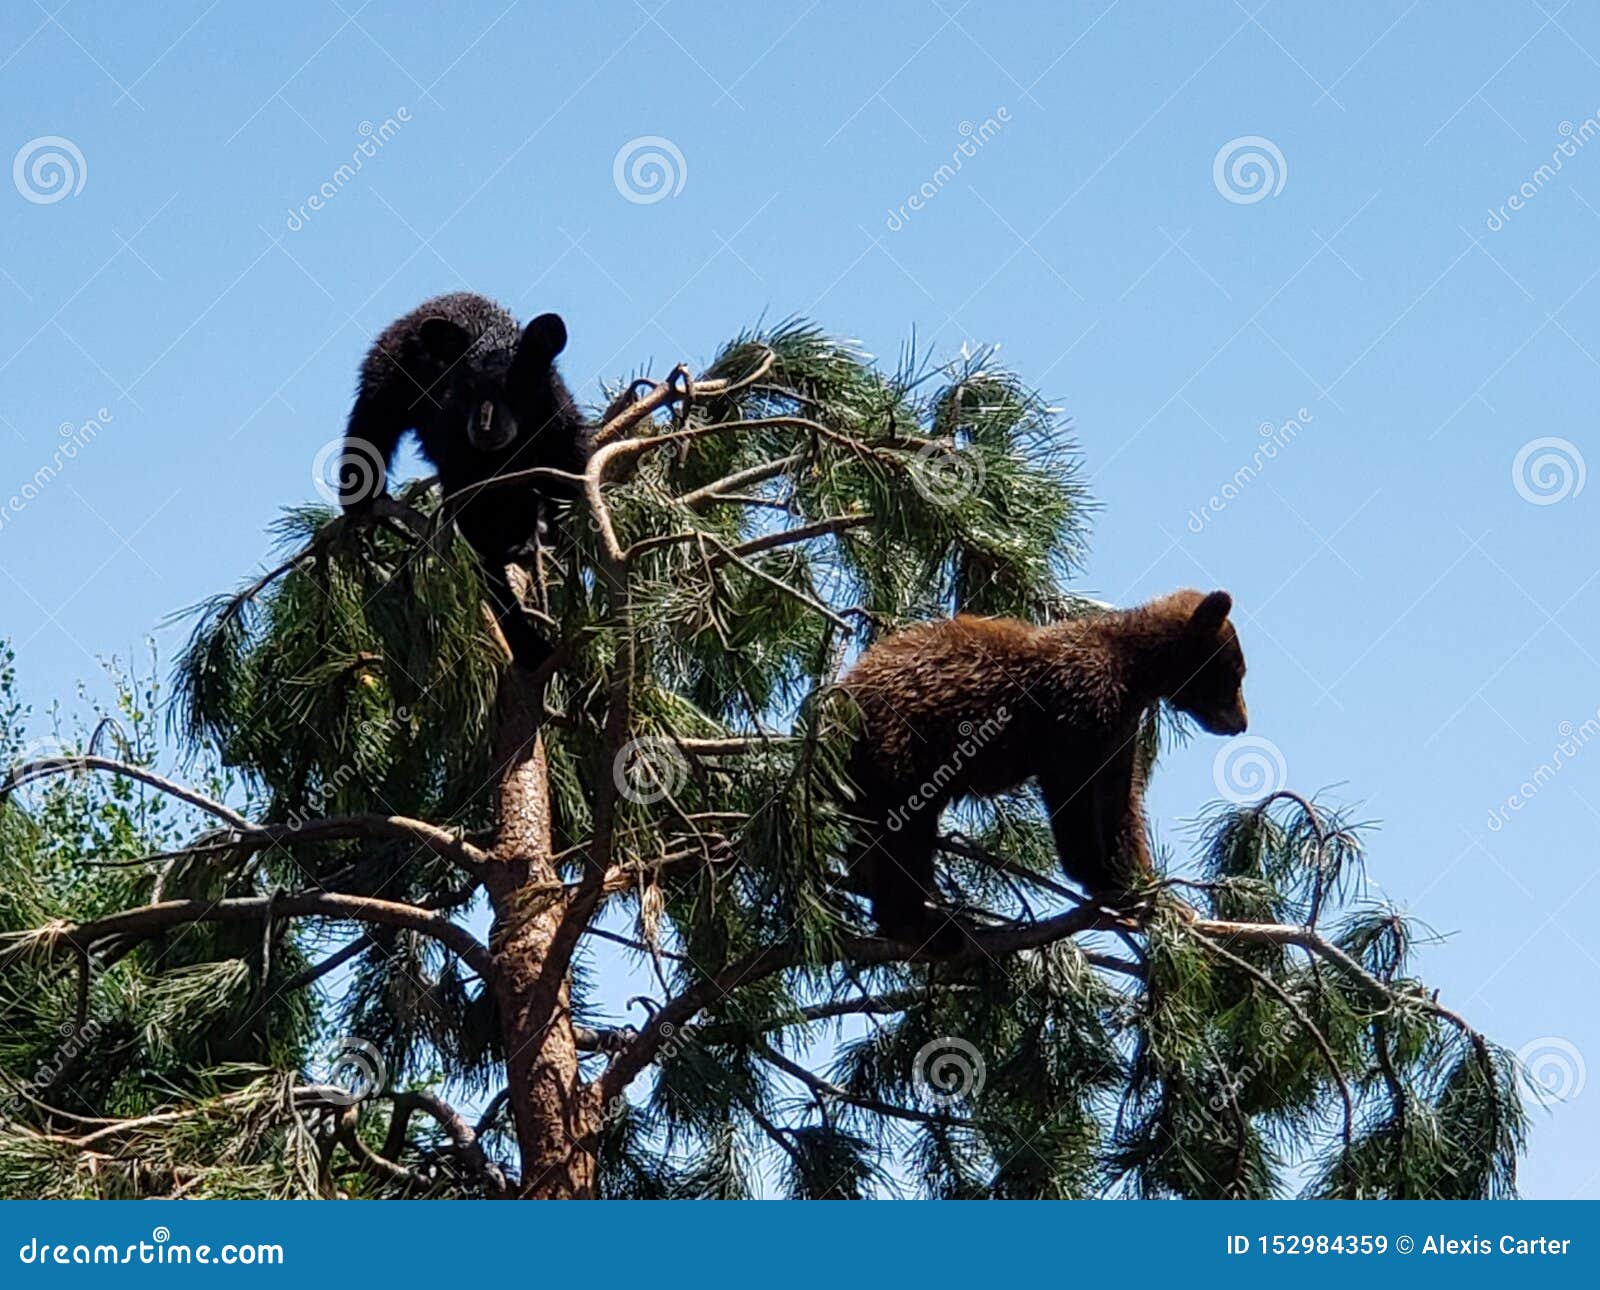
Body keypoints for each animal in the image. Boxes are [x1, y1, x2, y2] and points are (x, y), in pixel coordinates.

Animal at [339, 292, 593, 668]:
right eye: (467, 390)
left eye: (512, 388)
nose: (484, 428)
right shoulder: (459, 455)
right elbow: (478, 539)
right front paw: (529, 644)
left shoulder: (560, 433)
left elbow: (572, 493)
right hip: (388, 371)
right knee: (372, 422)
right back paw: (361, 498)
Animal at [839, 588, 1248, 946]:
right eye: (1236, 673)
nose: (1243, 722)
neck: (1135, 673)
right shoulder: (1078, 708)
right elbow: (1073, 795)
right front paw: (1101, 878)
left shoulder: (1120, 730)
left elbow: (1120, 801)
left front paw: (1148, 889)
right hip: (904, 747)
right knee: (902, 830)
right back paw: (925, 927)